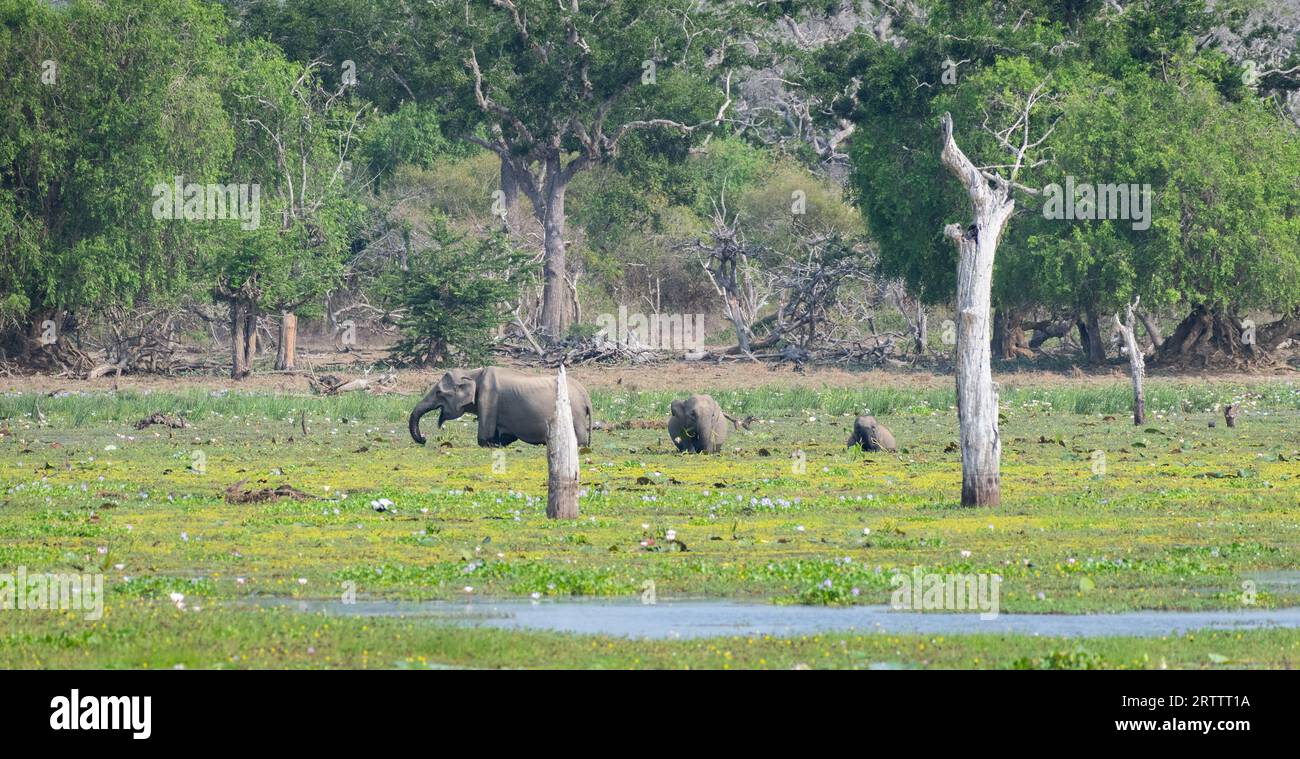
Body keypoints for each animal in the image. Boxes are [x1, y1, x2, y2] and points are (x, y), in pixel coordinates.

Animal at [408, 367, 592, 447]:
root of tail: (586, 395)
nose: (424, 439)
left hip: (575, 414)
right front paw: (500, 442)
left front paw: (489, 443)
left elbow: (484, 438)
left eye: (439, 392)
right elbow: (506, 436)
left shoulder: (489, 397)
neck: (473, 373)